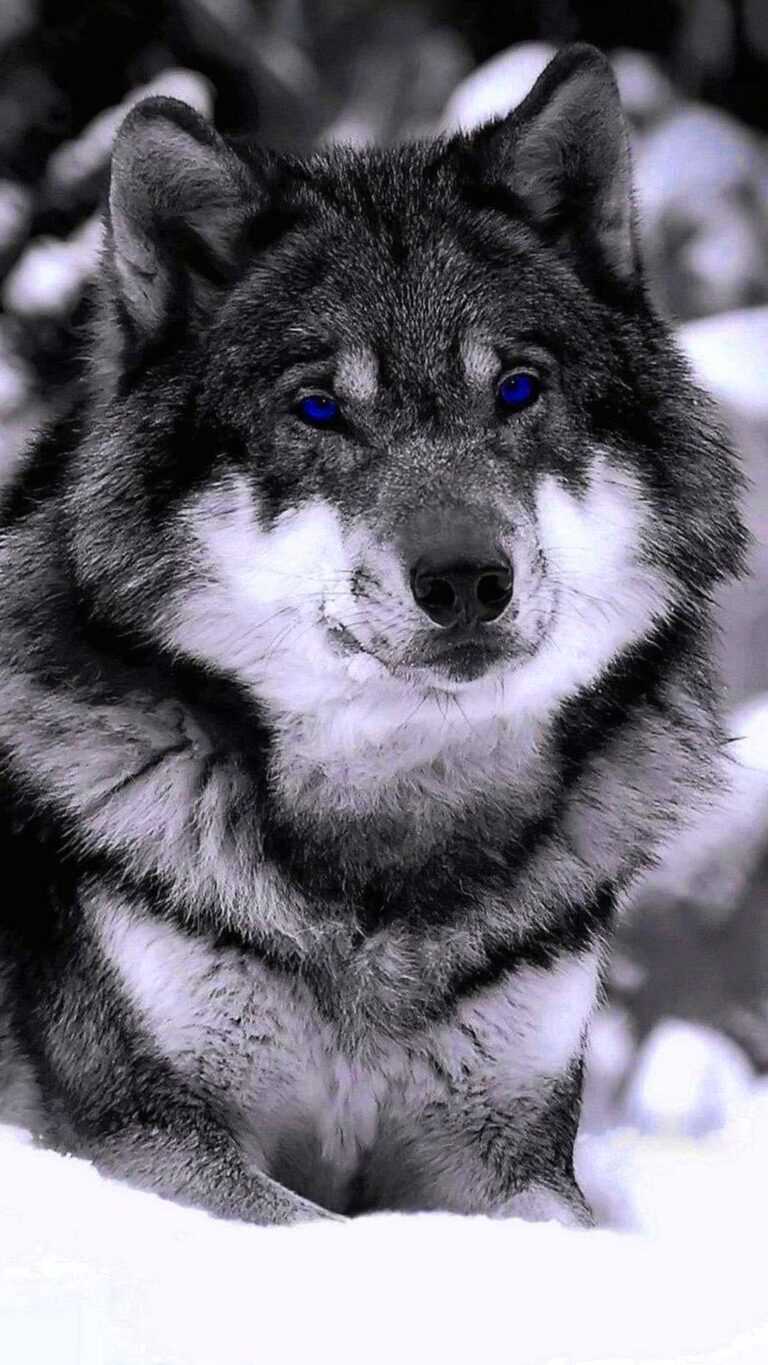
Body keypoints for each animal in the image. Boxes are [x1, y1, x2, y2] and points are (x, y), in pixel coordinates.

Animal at [0, 44, 745, 1226]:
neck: (389, 855)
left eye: (517, 390)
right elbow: (308, 1228)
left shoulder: (511, 1157)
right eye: (318, 410)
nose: (467, 579)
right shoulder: (145, 1137)